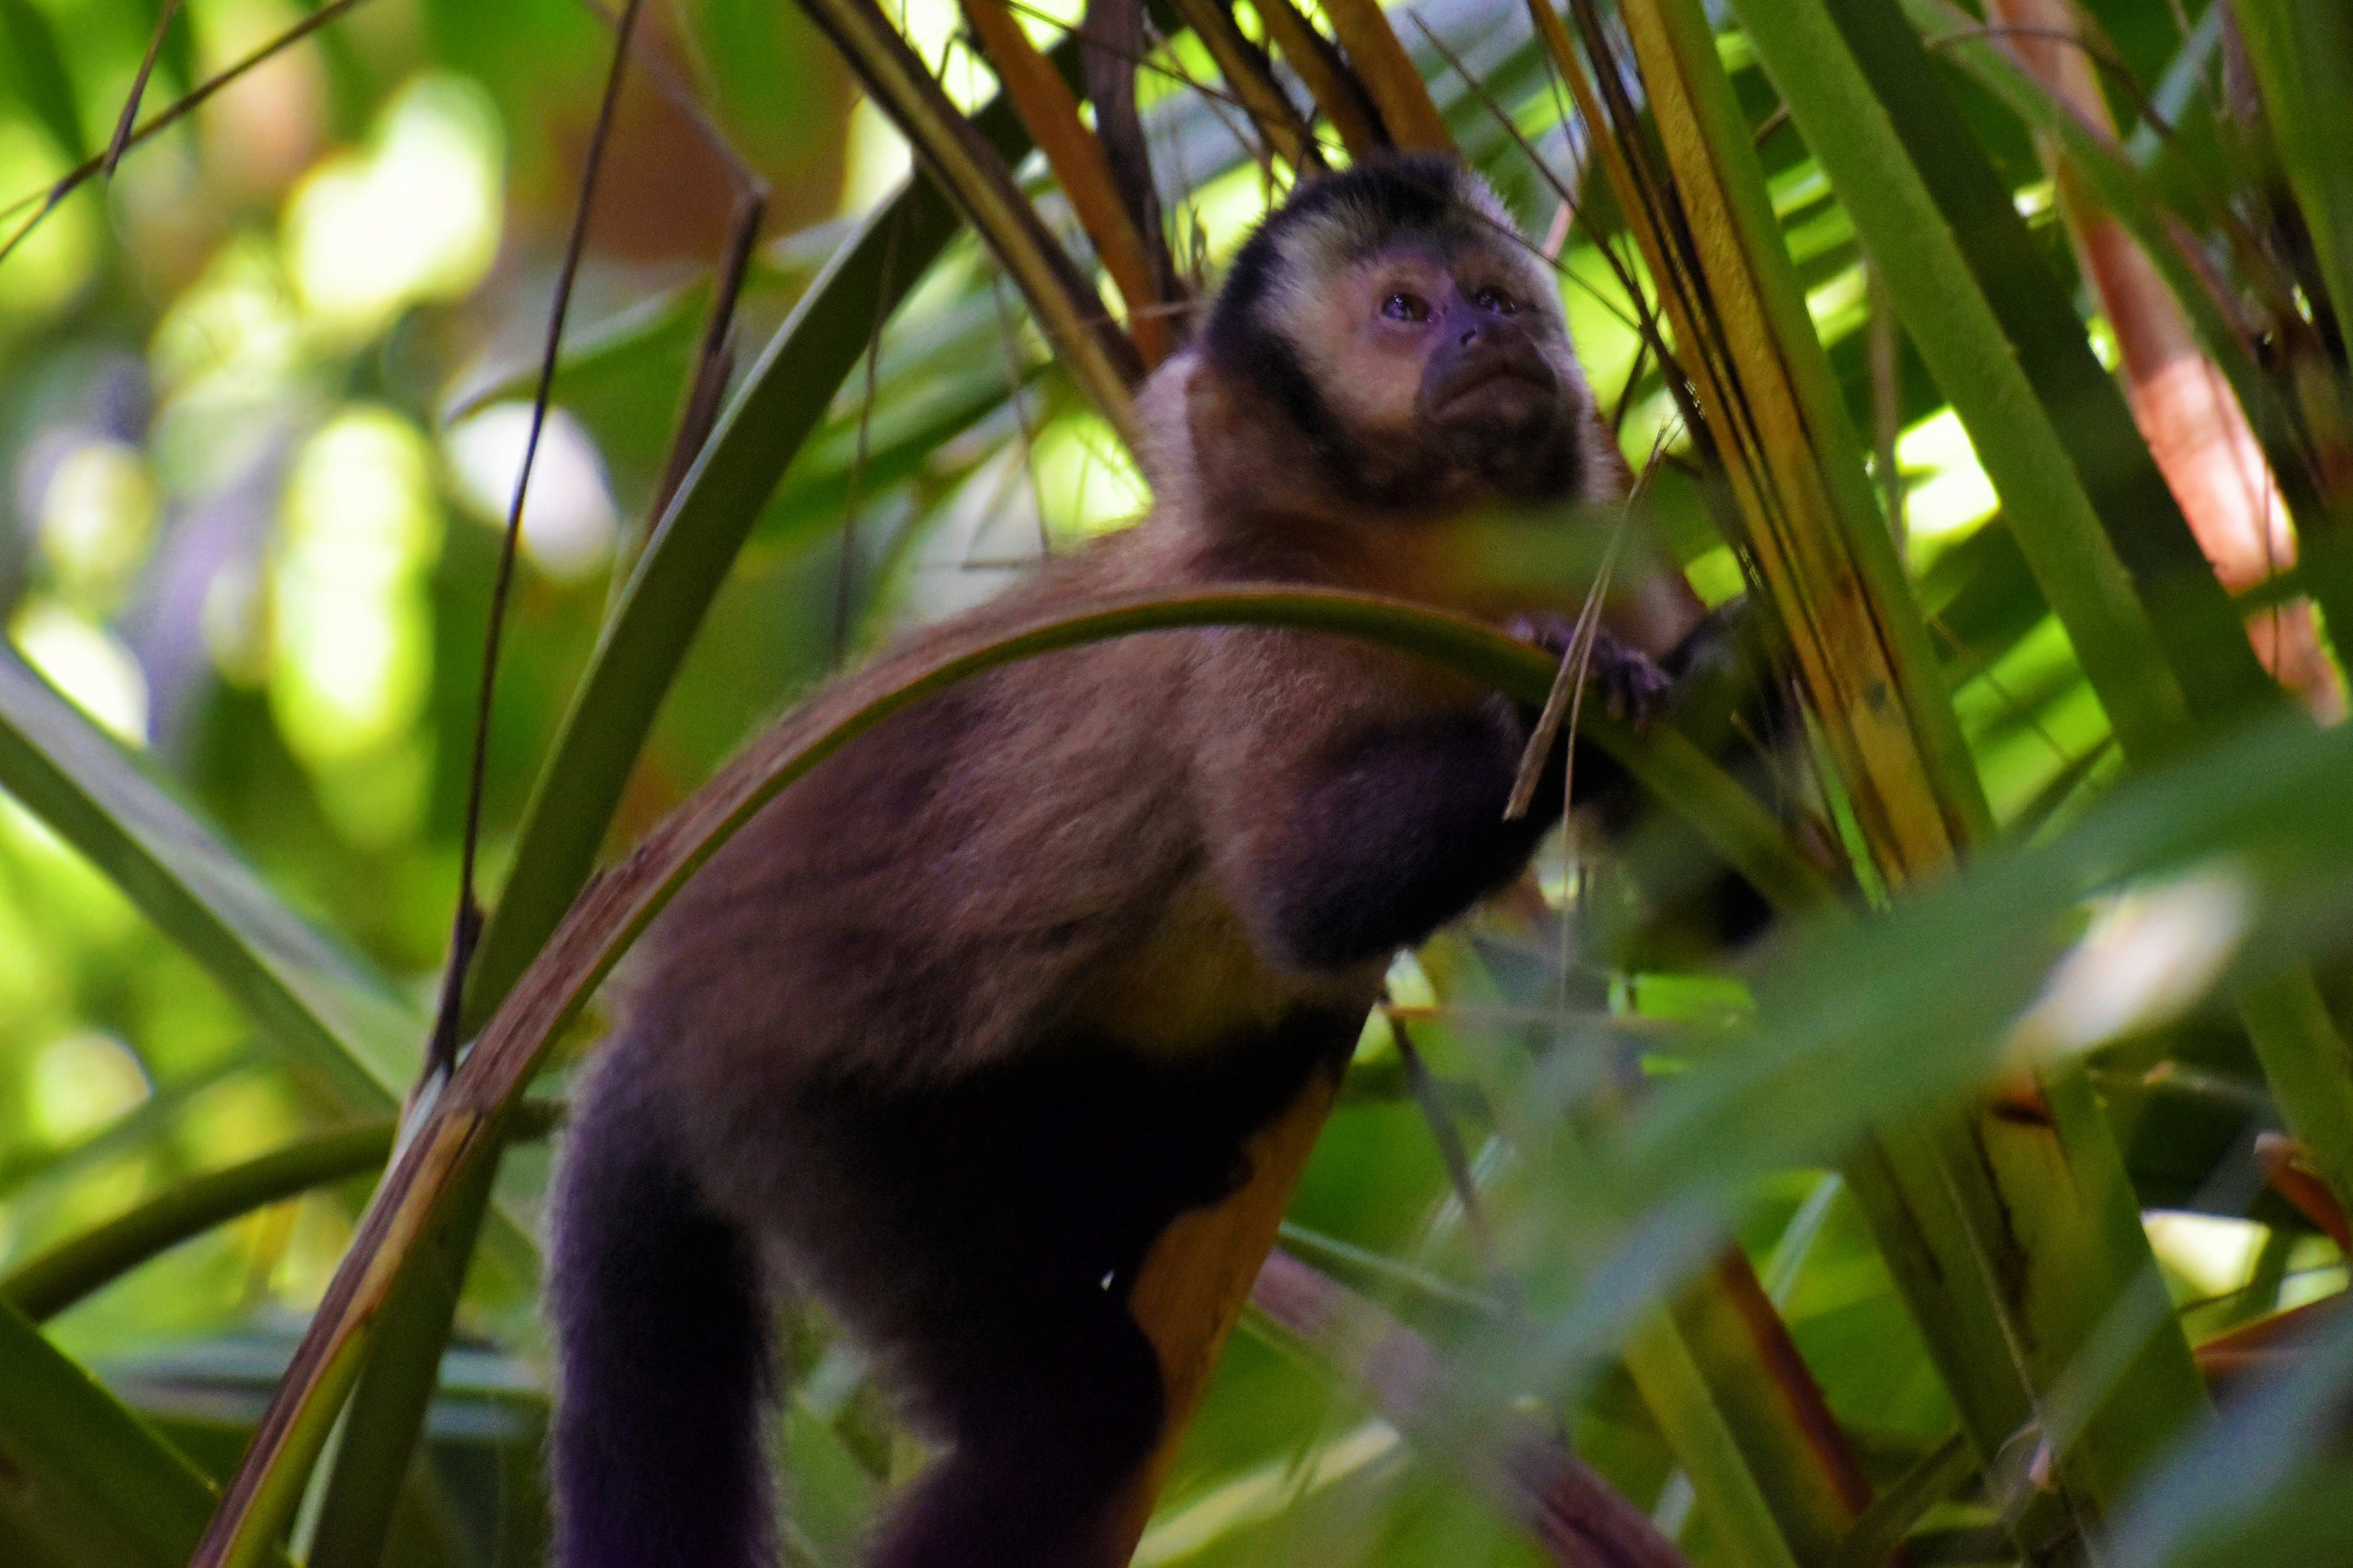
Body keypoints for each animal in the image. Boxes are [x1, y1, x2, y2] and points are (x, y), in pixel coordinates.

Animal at [545, 153, 1727, 1568]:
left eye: (1494, 293)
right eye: (1403, 309)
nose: (1484, 332)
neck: (1424, 561)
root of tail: (665, 1008)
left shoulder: (1598, 544)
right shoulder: (1265, 619)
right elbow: (1308, 893)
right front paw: (1567, 711)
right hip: (801, 1116)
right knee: (1072, 1405)